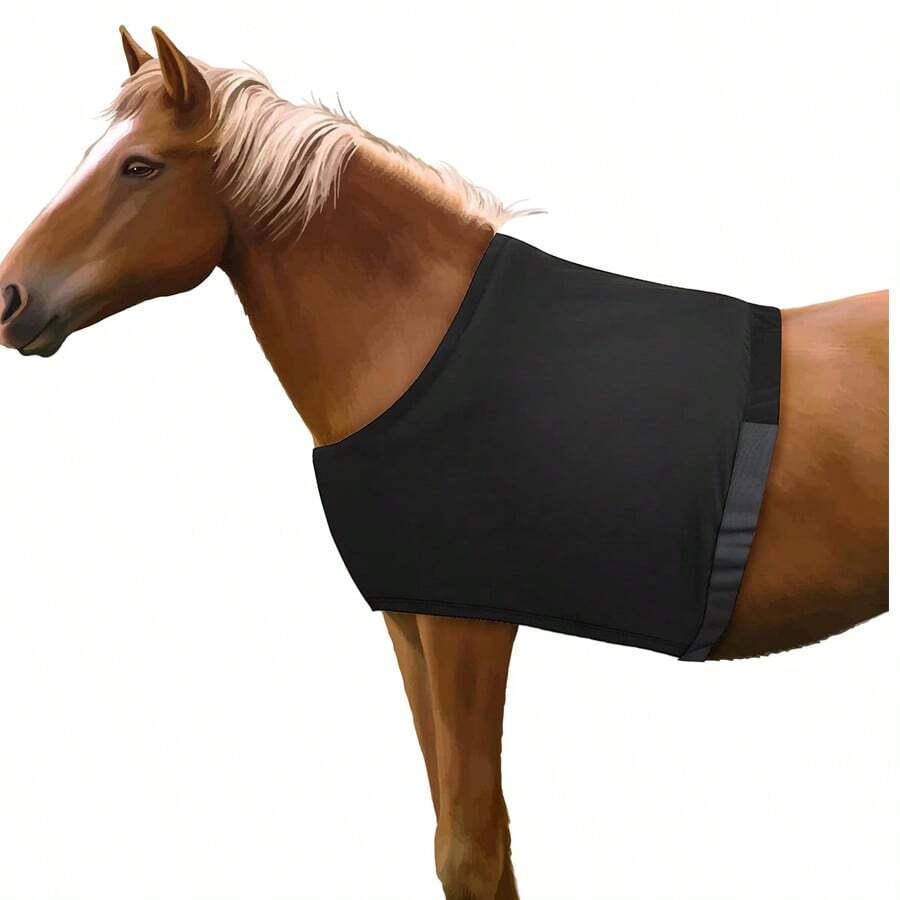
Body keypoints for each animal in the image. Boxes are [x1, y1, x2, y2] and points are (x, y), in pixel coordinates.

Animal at [0, 27, 887, 900]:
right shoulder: (412, 621)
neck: (418, 345)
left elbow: (471, 849)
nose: (10, 297)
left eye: (139, 165)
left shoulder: (469, 624)